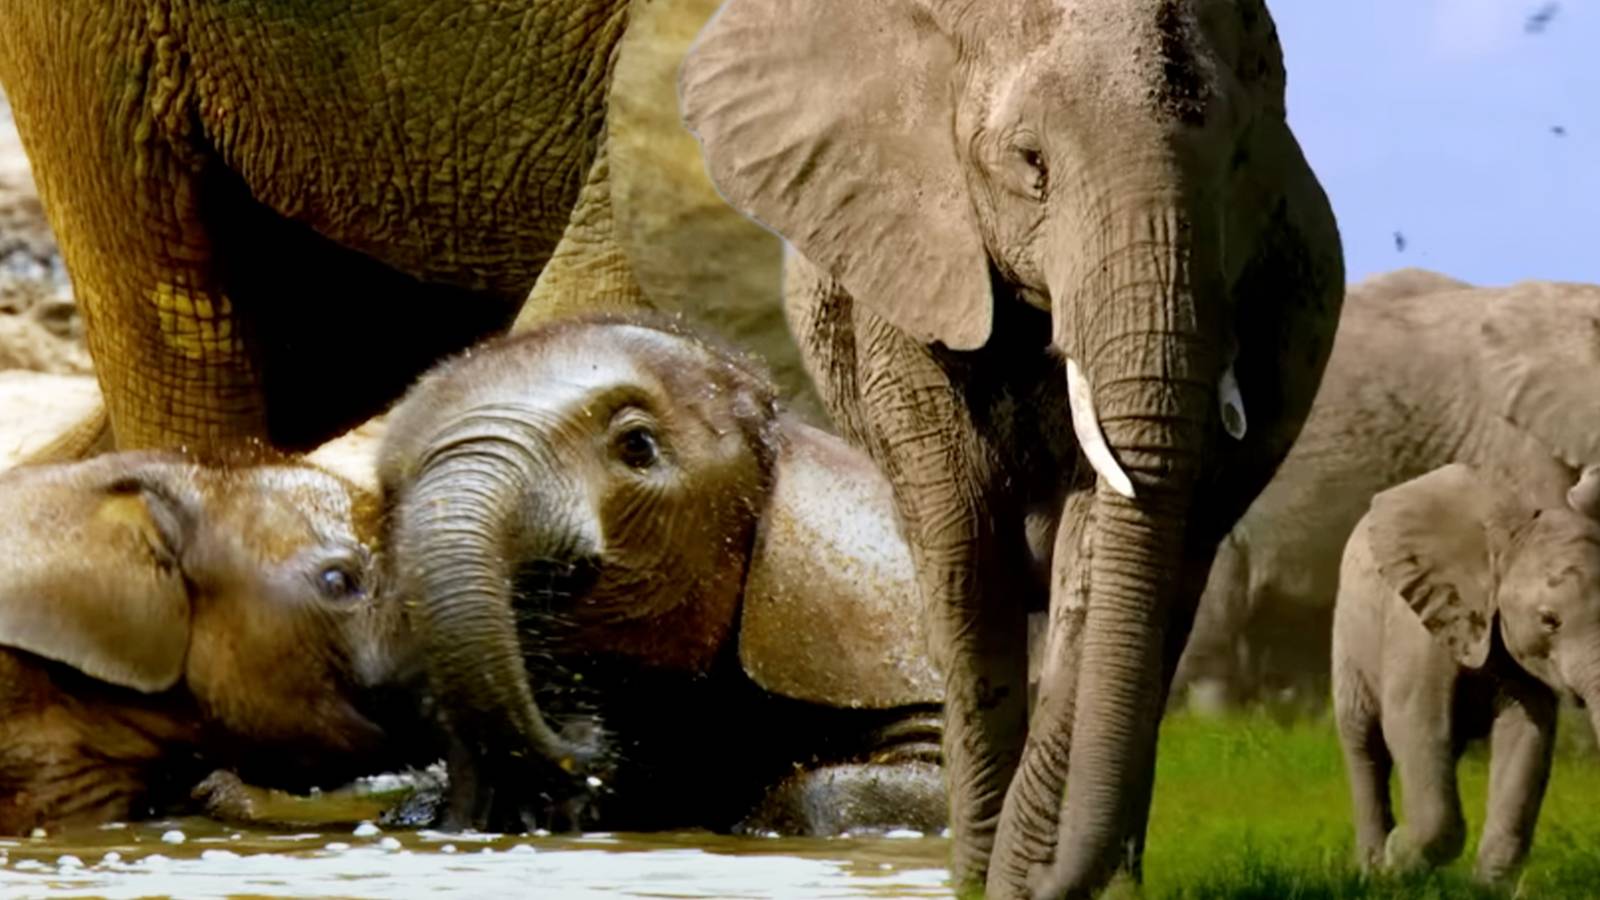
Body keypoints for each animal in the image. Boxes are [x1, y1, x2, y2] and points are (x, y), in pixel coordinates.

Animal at [679, 0, 1344, 894]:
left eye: (1241, 162)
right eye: (1032, 164)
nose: (1039, 879)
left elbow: (1091, 563)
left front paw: (1028, 878)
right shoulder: (907, 273)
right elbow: (967, 562)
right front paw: (979, 881)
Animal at [1334, 463, 1600, 883]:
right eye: (1549, 620)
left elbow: (1526, 736)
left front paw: (1486, 887)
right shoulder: (1419, 622)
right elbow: (1416, 724)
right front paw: (1397, 857)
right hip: (1349, 629)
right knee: (1363, 740)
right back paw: (1373, 871)